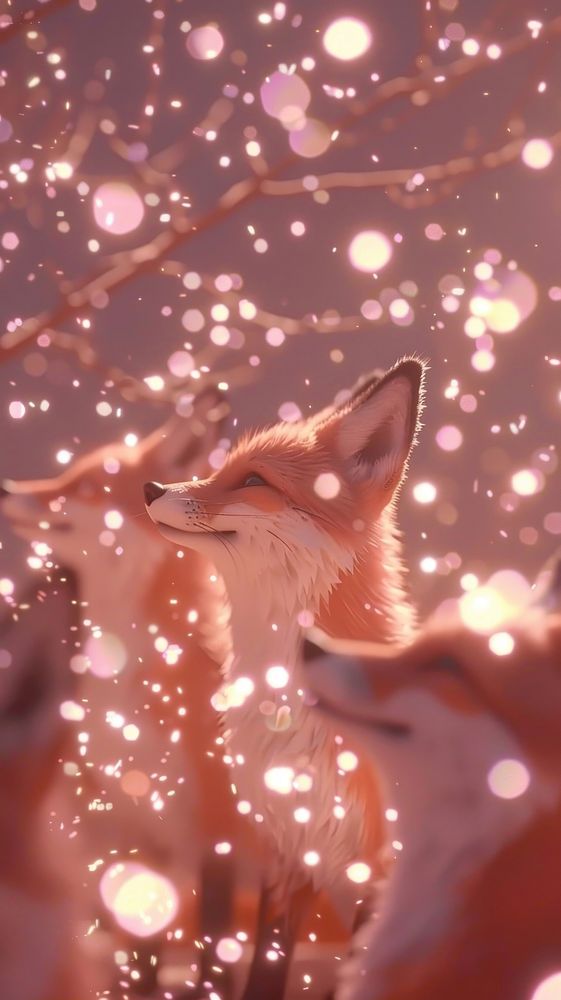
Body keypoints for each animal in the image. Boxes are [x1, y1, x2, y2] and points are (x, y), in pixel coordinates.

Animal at [0, 390, 251, 997]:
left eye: (87, 487)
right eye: (66, 472)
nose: (8, 488)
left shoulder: (216, 836)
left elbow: (214, 954)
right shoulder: (137, 841)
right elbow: (143, 961)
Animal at [144, 356, 425, 998]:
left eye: (253, 481)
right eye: (221, 468)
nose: (151, 489)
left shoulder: (381, 870)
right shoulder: (290, 853)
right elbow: (264, 970)